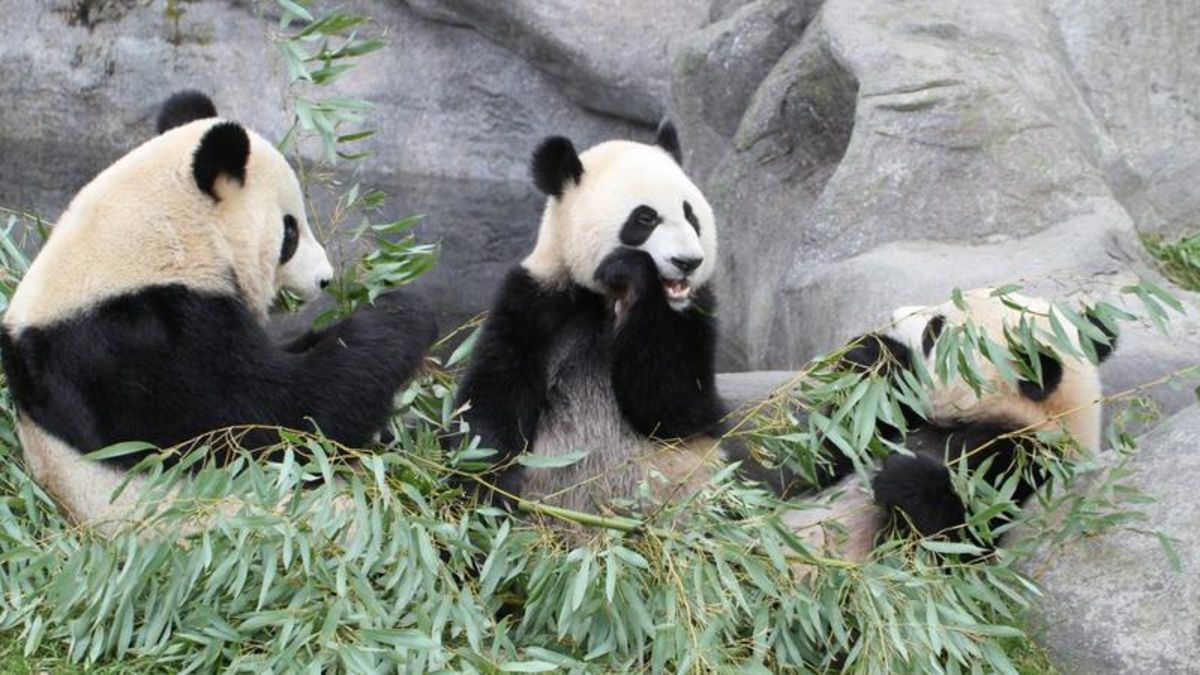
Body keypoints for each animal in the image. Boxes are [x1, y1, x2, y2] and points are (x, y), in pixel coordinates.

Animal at [454, 123, 788, 515]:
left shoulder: (696, 313)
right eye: (645, 219)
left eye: (691, 215)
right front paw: (487, 492)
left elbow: (675, 405)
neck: (606, 297)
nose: (688, 262)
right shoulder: (537, 300)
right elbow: (494, 399)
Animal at [783, 288, 1117, 566]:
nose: (893, 316)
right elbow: (826, 462)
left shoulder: (1021, 466)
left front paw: (901, 474)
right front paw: (871, 356)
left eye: (934, 330)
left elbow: (957, 543)